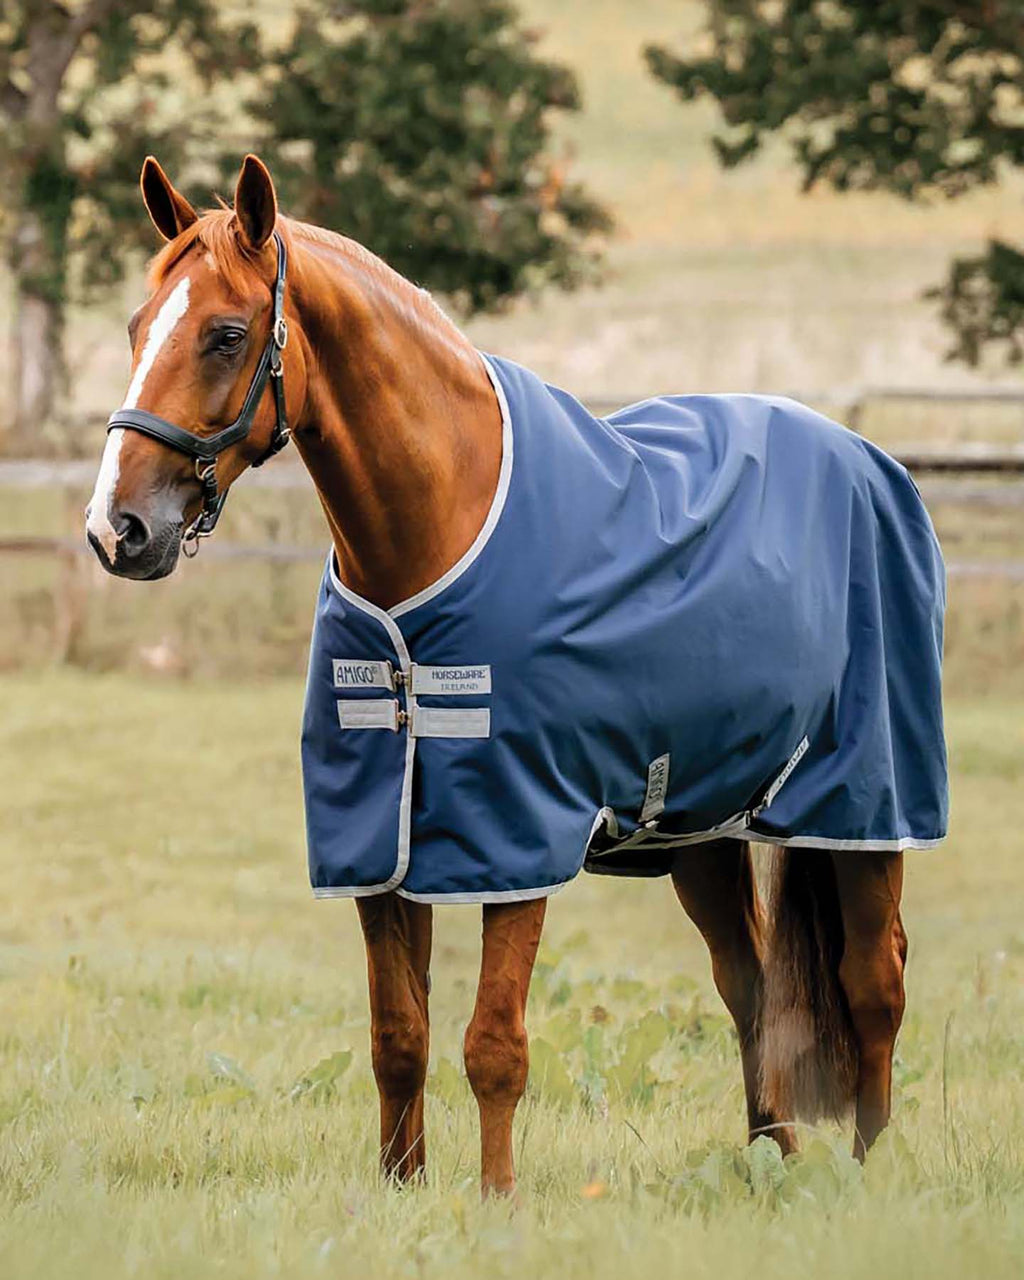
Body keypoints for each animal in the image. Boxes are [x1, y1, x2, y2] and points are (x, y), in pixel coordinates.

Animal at [86, 154, 946, 1196]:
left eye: (224, 333)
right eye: (138, 327)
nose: (118, 529)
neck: (439, 531)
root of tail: (870, 462)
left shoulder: (516, 832)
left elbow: (493, 1045)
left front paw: (496, 1204)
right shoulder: (379, 841)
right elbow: (398, 1038)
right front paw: (401, 1192)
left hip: (864, 808)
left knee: (875, 981)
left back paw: (868, 1171)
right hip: (702, 828)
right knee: (749, 989)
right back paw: (768, 1164)